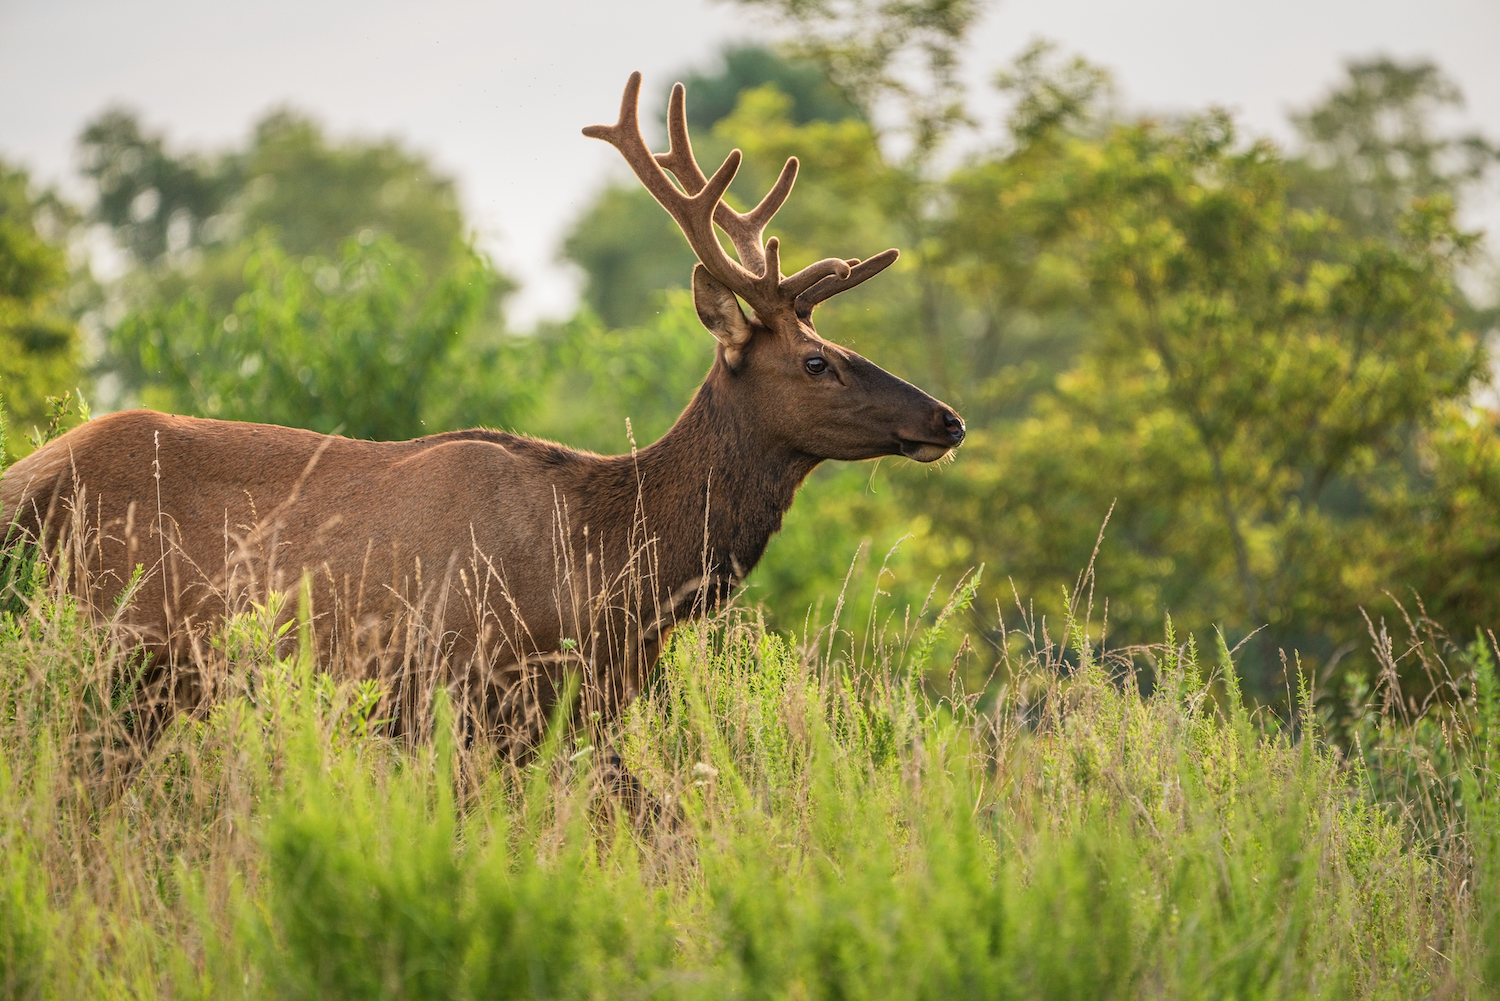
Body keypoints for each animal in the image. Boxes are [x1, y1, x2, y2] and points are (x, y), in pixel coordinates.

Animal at [0, 72, 964, 770]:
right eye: (816, 361)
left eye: (834, 341)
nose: (948, 418)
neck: (605, 572)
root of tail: (26, 481)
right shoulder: (461, 695)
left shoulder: (579, 712)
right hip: (107, 653)